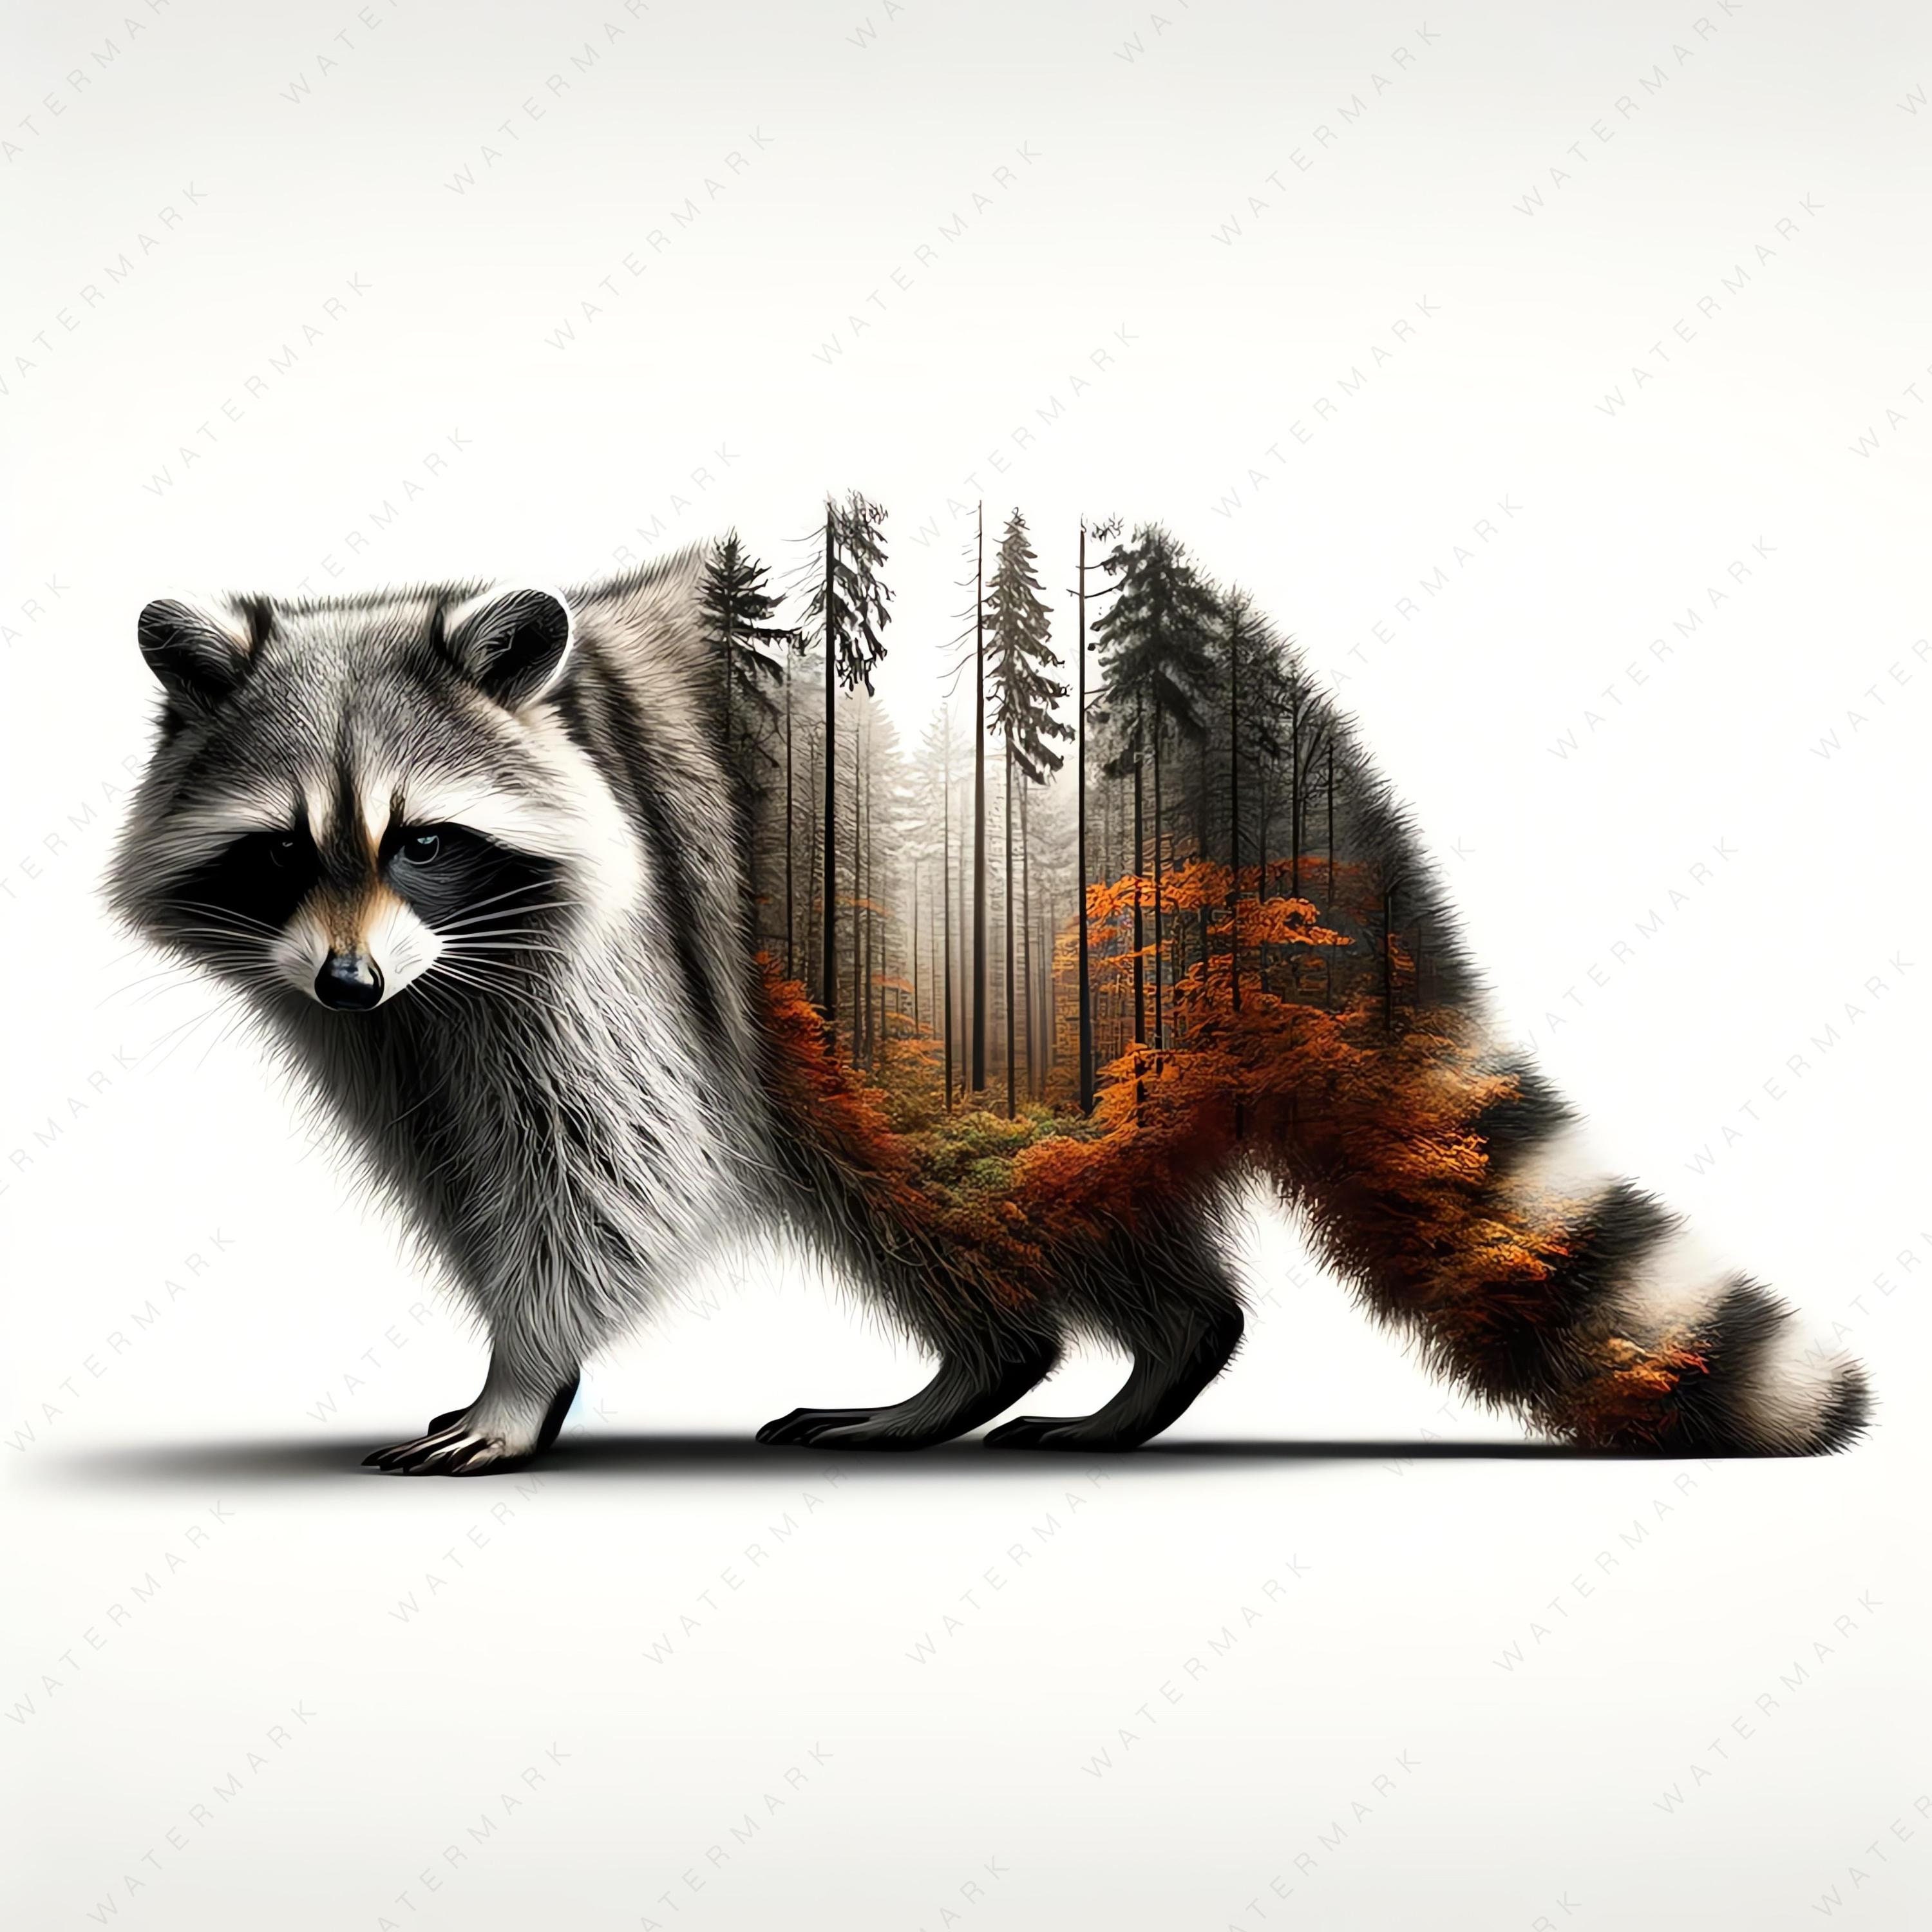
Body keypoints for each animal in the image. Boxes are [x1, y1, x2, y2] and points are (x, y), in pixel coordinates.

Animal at [107, 549, 1870, 1473]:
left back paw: (1009, 1358)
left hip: (964, 995)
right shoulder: (406, 1027)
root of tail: (1295, 763)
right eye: (282, 853)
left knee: (912, 1189)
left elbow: (611, 1169)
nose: (345, 974)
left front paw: (525, 1371)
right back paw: (1112, 1353)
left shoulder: (634, 952)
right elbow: (465, 1157)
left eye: (423, 839)